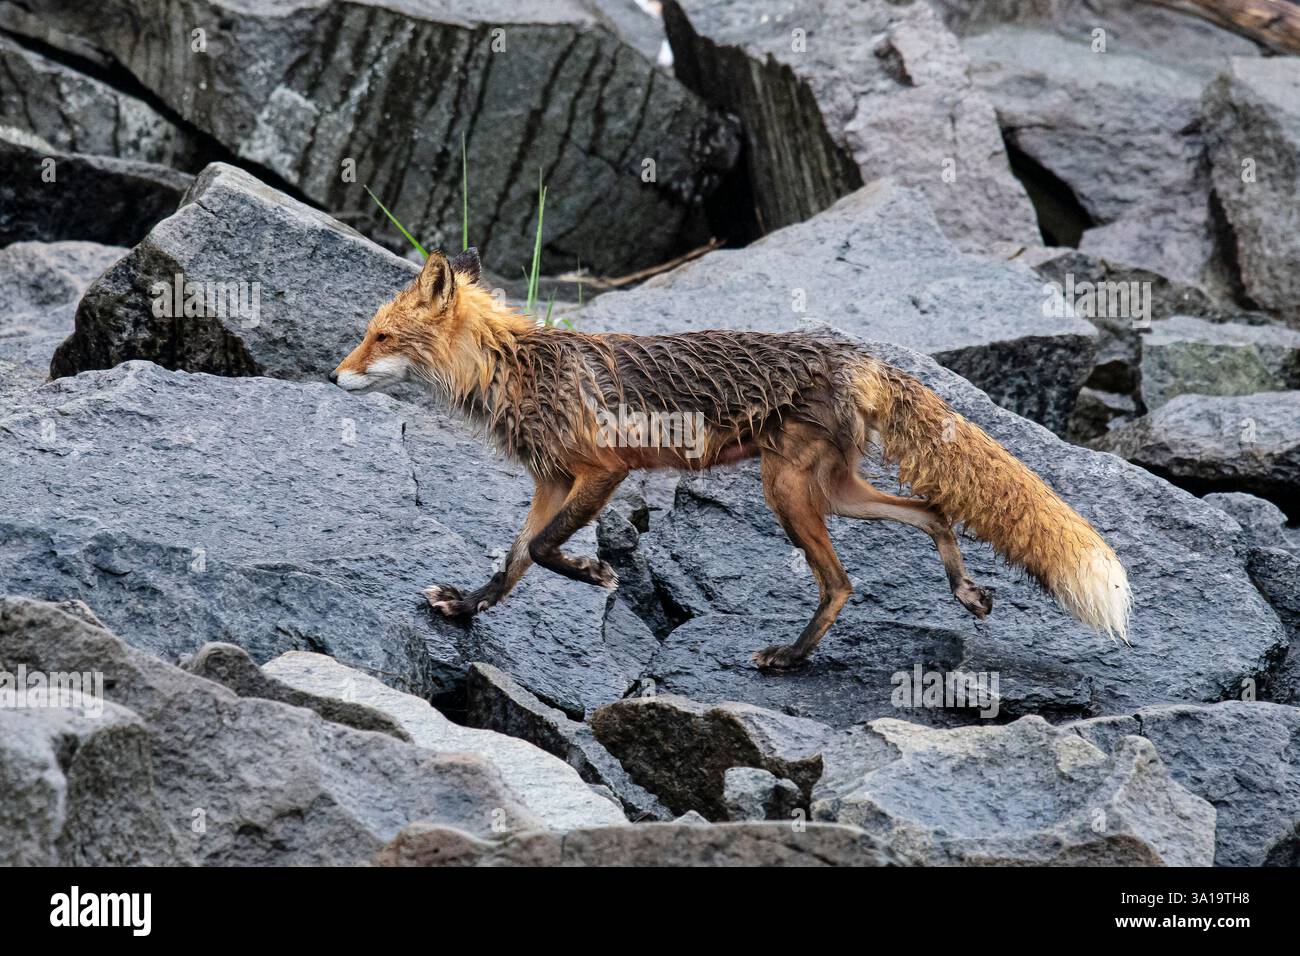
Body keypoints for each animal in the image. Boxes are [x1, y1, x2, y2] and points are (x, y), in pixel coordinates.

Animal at [331, 247, 1131, 669]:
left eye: (380, 337)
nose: (335, 377)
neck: (514, 367)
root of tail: (859, 354)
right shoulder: (550, 480)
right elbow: (514, 560)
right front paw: (466, 607)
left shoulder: (603, 470)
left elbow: (543, 548)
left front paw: (595, 573)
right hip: (832, 490)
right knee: (933, 508)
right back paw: (964, 591)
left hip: (788, 492)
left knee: (842, 583)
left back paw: (792, 656)